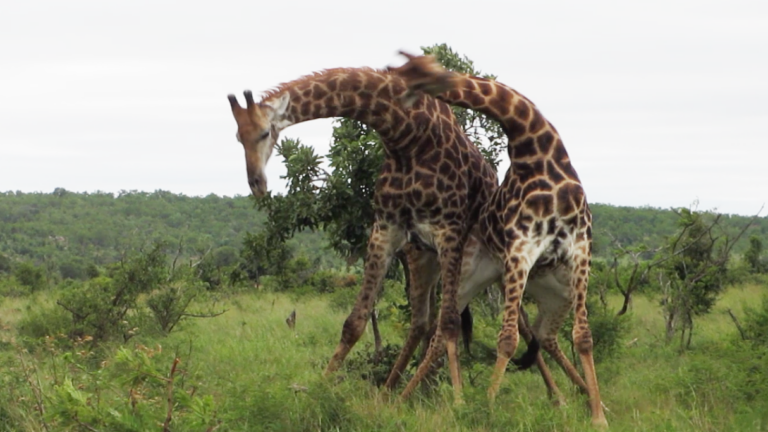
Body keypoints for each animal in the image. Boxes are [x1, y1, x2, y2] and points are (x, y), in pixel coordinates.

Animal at [225, 66, 506, 402]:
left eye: (265, 133)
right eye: (238, 137)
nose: (256, 183)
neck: (407, 137)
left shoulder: (448, 230)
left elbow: (450, 323)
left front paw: (460, 401)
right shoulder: (386, 228)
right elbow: (355, 321)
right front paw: (320, 387)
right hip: (423, 258)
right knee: (423, 322)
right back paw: (394, 392)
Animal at [389, 53, 608, 427]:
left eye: (413, 72)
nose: (395, 92)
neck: (537, 154)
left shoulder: (579, 248)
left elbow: (584, 337)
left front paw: (597, 417)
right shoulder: (521, 250)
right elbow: (507, 339)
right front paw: (487, 409)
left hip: (557, 294)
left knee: (546, 336)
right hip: (469, 277)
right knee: (440, 332)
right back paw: (402, 398)